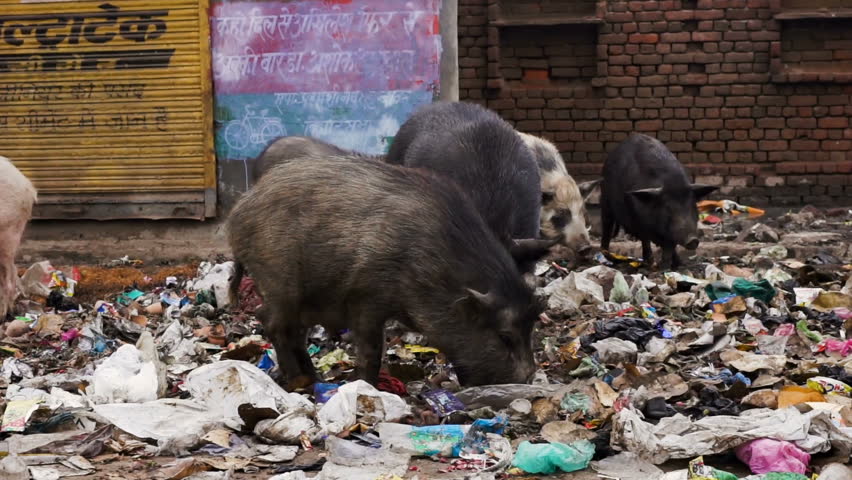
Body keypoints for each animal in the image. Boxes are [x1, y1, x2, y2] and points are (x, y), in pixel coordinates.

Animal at [227, 155, 542, 387]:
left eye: (531, 327)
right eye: (505, 336)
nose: (528, 379)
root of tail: (238, 212)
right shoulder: (366, 298)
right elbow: (371, 350)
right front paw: (367, 386)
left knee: (294, 332)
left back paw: (315, 378)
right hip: (278, 281)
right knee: (271, 322)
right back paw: (298, 381)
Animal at [600, 133, 718, 269]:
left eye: (692, 205)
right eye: (667, 207)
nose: (693, 240)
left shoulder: (669, 233)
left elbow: (669, 247)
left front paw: (676, 266)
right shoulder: (638, 220)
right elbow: (646, 240)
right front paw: (652, 265)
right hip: (605, 202)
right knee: (607, 227)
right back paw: (611, 259)